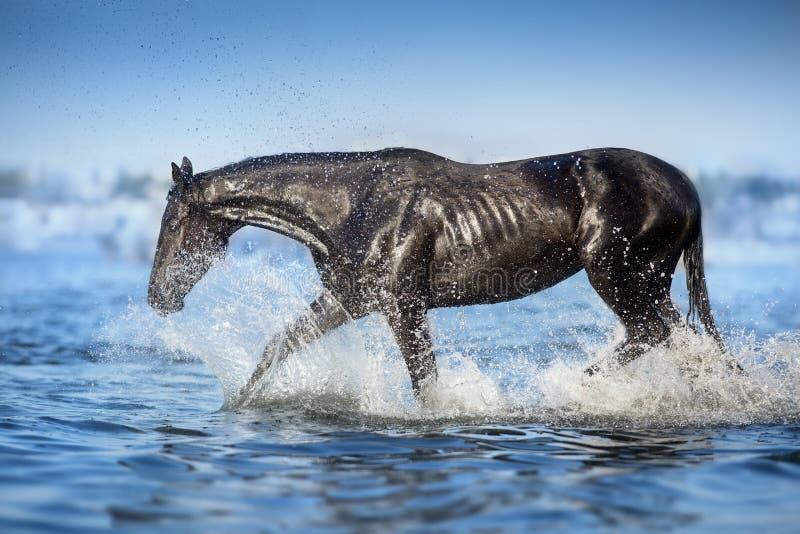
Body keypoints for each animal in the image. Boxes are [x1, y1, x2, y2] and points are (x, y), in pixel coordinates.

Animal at [148, 147, 727, 402]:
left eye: (173, 221)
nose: (157, 298)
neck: (352, 206)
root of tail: (689, 191)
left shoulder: (403, 307)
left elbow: (425, 383)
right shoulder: (349, 301)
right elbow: (278, 345)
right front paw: (237, 406)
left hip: (618, 275)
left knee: (657, 334)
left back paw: (567, 389)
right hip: (647, 281)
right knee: (684, 341)